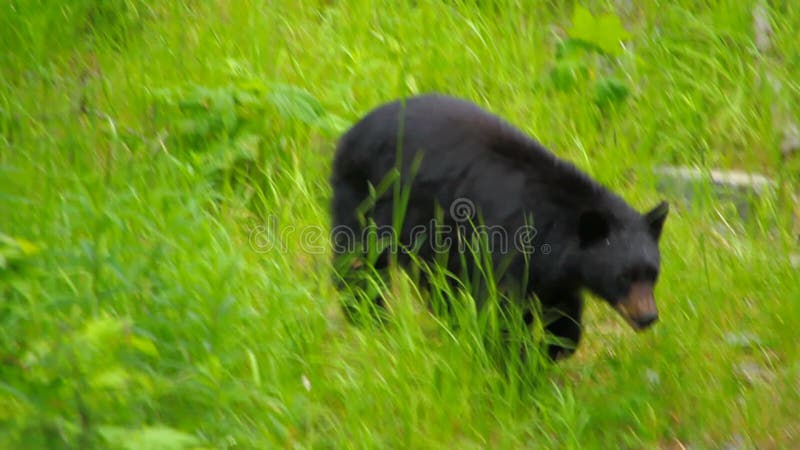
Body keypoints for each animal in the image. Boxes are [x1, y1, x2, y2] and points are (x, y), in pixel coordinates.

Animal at [330, 94, 668, 360]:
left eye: (652, 274)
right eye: (623, 276)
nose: (649, 316)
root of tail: (349, 132)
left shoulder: (554, 273)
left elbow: (562, 313)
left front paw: (551, 350)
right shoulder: (507, 245)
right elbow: (500, 308)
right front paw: (515, 362)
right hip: (369, 197)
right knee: (359, 264)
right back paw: (368, 316)